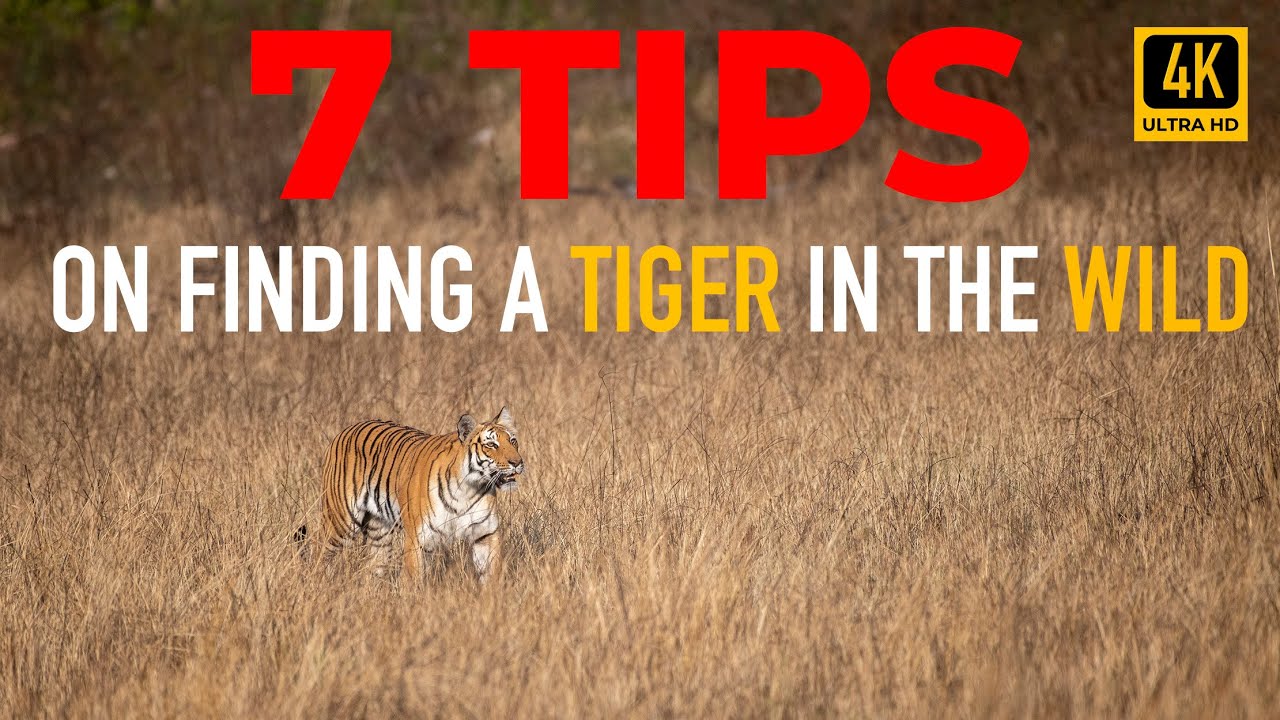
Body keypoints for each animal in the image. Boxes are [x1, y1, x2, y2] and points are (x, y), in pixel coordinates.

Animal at [296, 406, 524, 584]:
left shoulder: (485, 534)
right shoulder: (418, 539)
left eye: (513, 441)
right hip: (340, 521)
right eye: (491, 445)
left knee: (373, 568)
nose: (517, 462)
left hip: (379, 533)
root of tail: (345, 431)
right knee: (319, 554)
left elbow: (491, 573)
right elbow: (413, 580)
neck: (468, 489)